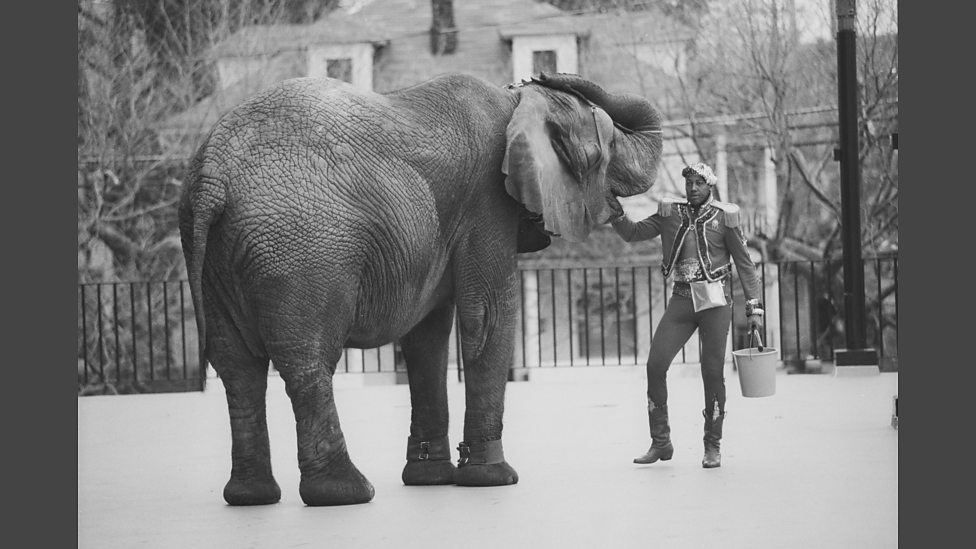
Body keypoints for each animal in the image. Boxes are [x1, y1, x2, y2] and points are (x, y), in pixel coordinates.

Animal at [178, 71, 663, 506]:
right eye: (604, 150)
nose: (539, 74)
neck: (515, 108)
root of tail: (212, 172)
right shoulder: (487, 202)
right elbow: (487, 315)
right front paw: (493, 479)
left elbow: (426, 338)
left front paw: (432, 478)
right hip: (302, 248)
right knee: (307, 362)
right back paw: (345, 494)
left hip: (215, 256)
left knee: (237, 369)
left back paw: (251, 496)